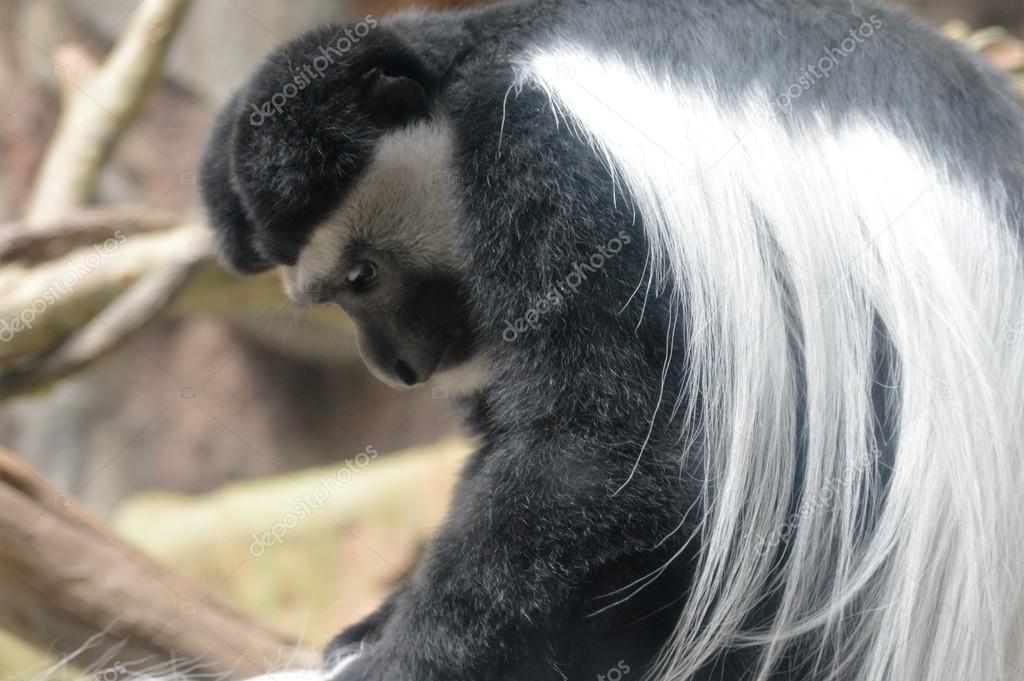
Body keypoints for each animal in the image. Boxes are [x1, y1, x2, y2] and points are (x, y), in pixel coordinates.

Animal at [199, 0, 1024, 679]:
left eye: (362, 275)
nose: (397, 367)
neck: (477, 67)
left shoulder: (554, 161)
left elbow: (603, 451)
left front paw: (399, 661)